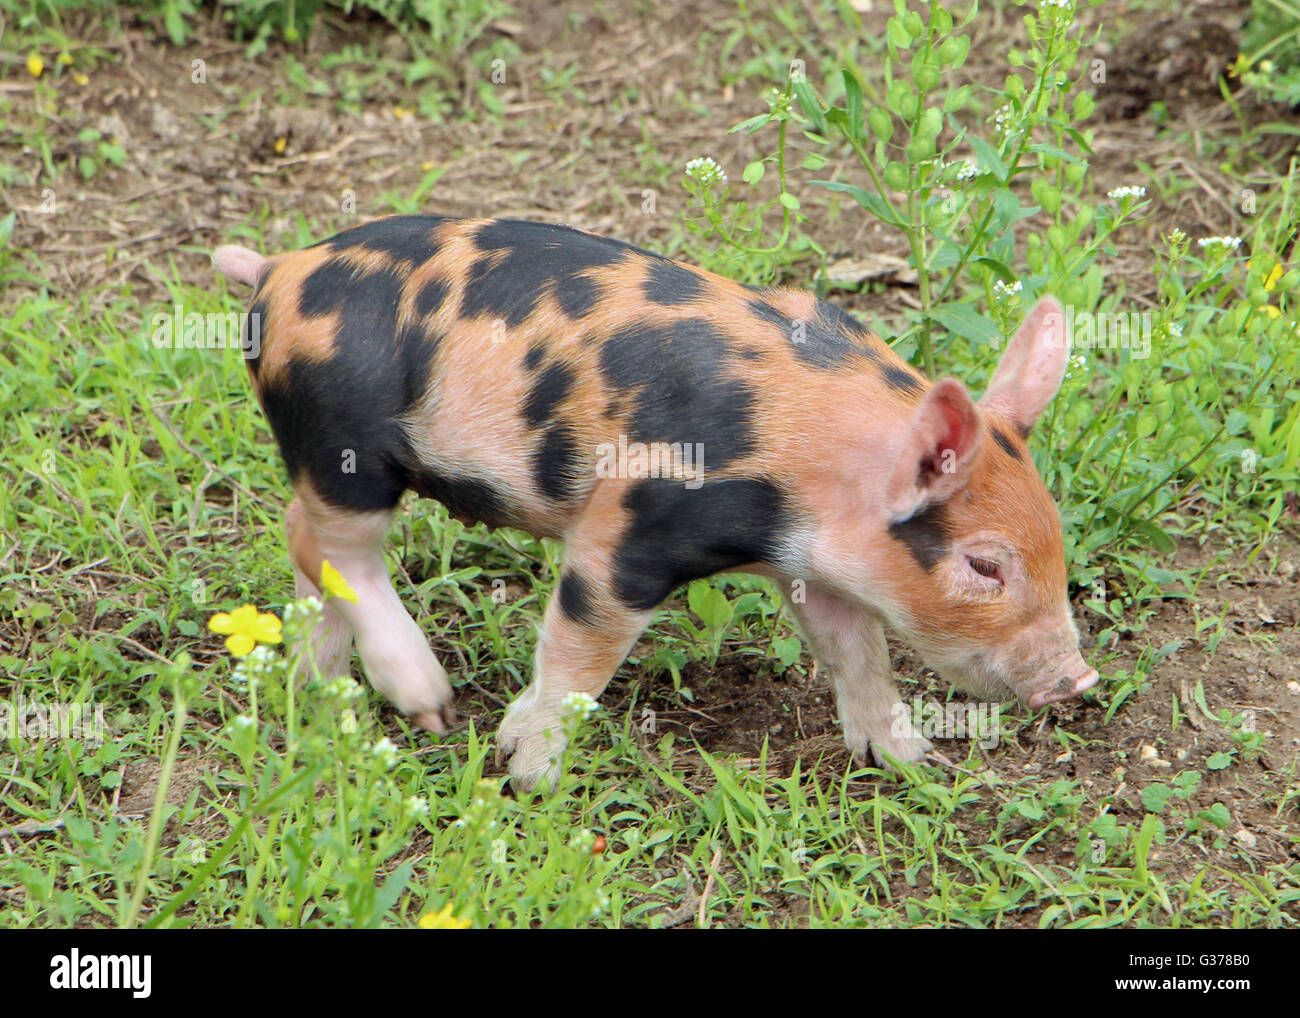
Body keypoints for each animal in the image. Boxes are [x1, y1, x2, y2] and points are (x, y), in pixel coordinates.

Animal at [212, 215, 1098, 790]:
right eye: (985, 565)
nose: (1077, 678)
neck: (816, 465)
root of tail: (275, 271)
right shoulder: (628, 525)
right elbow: (581, 647)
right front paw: (525, 771)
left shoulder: (815, 562)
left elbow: (856, 650)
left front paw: (916, 764)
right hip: (344, 443)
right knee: (330, 546)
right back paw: (429, 704)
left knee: (302, 541)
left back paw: (320, 692)